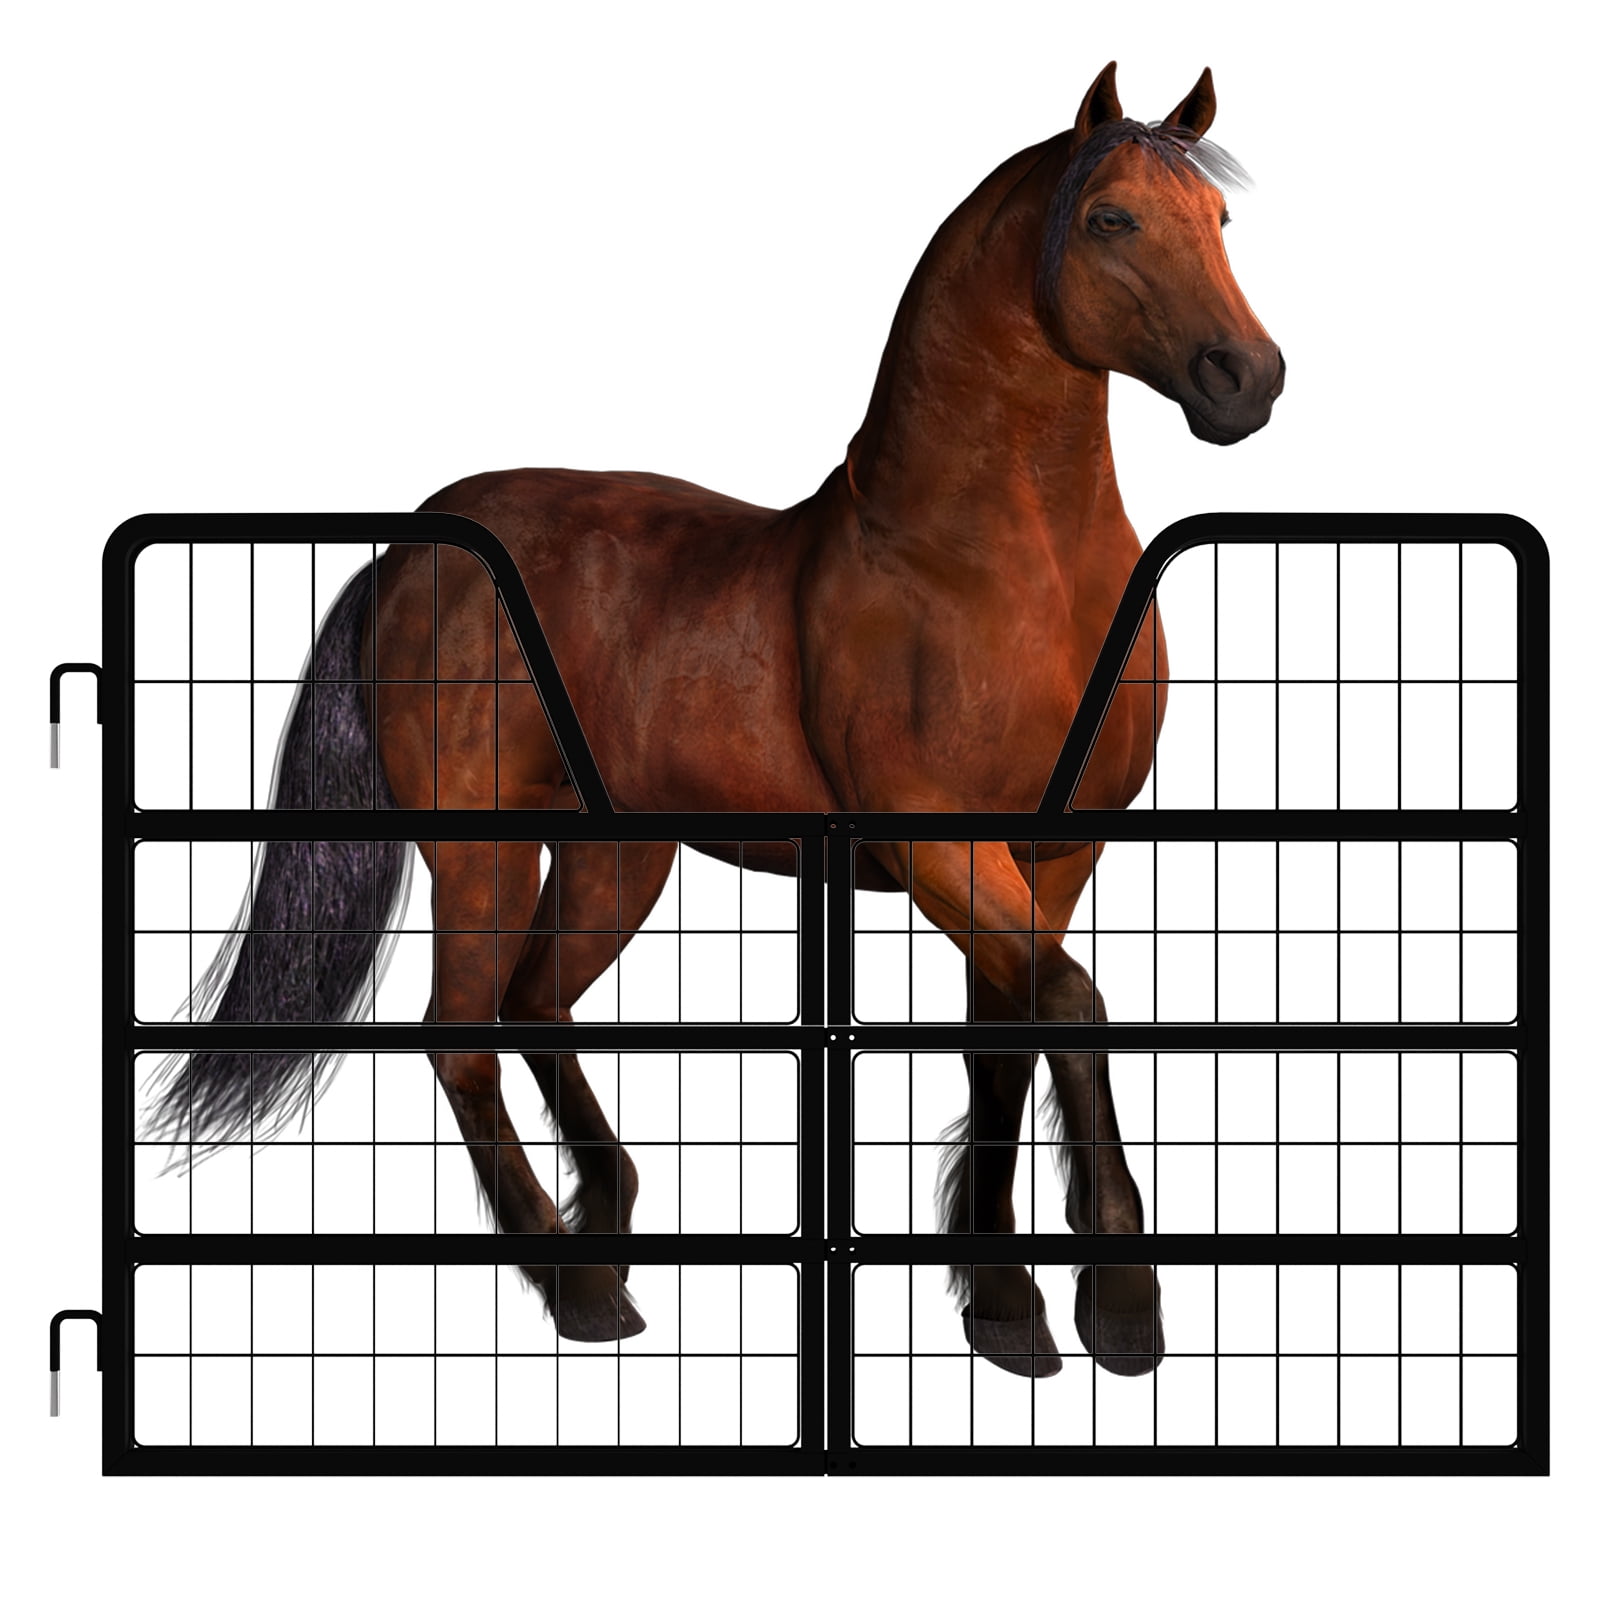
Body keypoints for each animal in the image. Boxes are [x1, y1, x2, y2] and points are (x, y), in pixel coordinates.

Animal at [151, 62, 1282, 1380]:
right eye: (1110, 218)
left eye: (1219, 221)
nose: (1247, 379)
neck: (997, 567)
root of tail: (413, 552)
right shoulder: (936, 840)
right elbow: (1072, 1008)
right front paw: (1120, 1307)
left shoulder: (1056, 850)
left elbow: (1005, 1037)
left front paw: (1002, 1304)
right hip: (483, 851)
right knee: (461, 1035)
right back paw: (574, 1288)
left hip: (616, 856)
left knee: (536, 1005)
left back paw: (611, 1237)